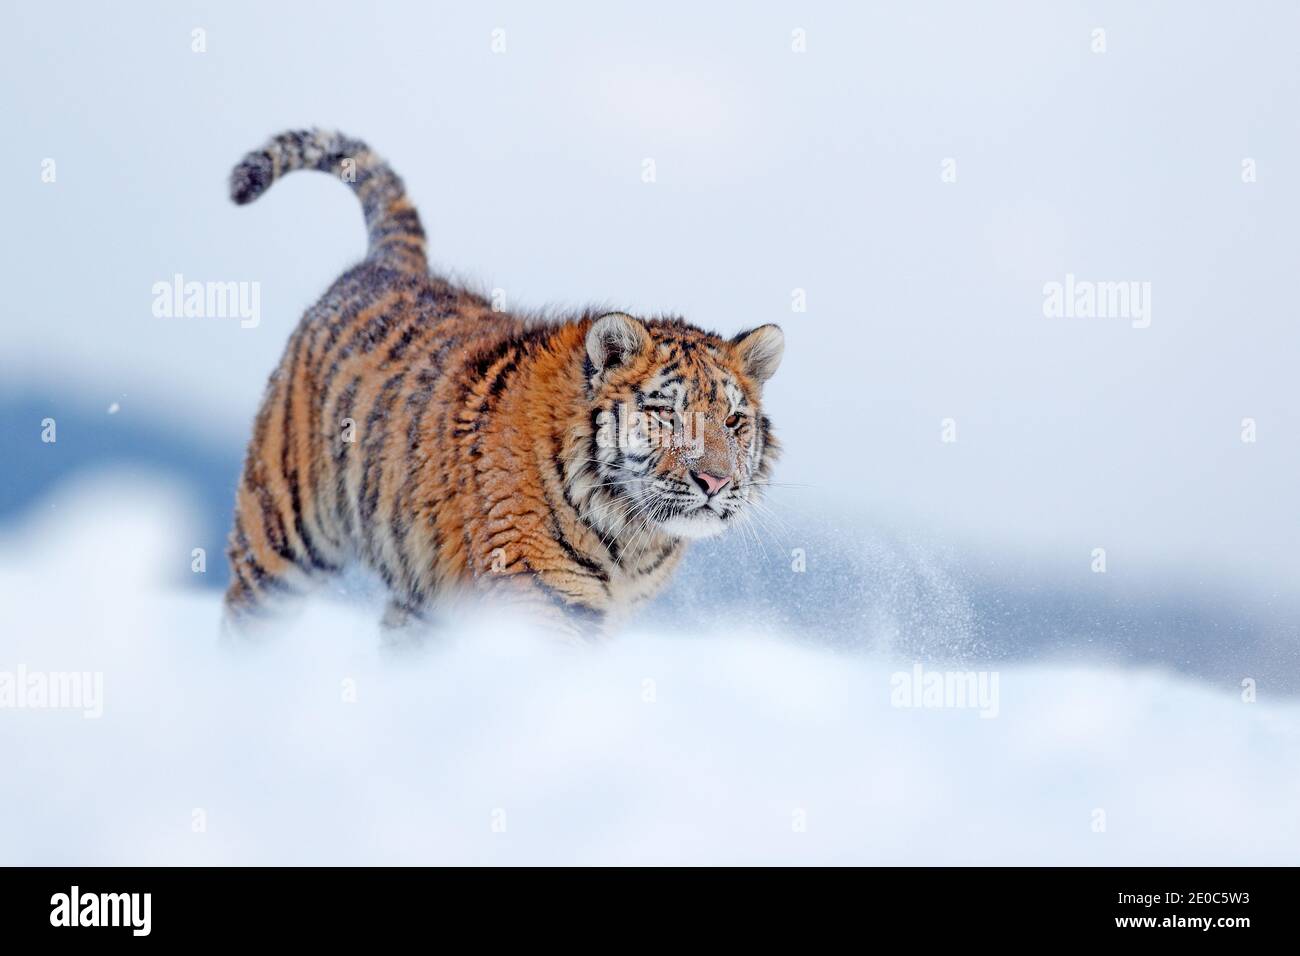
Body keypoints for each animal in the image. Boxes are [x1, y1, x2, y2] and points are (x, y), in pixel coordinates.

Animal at [223, 129, 784, 638]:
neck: (633, 540)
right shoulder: (537, 597)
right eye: (667, 414)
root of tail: (390, 263)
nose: (715, 482)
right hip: (280, 538)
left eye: (734, 421)